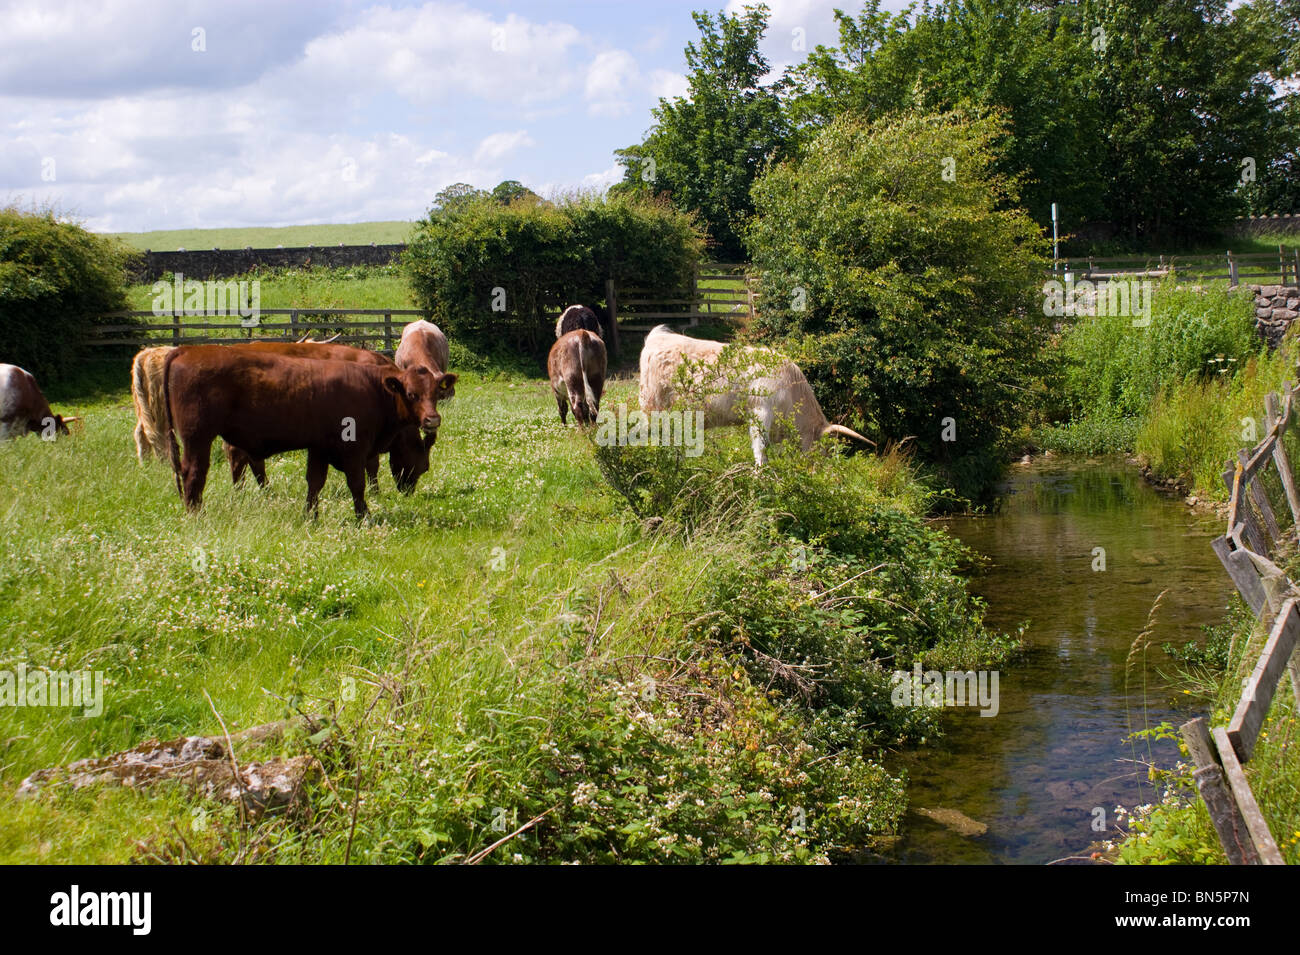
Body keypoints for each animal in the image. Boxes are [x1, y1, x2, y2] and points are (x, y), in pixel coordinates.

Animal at [163, 345, 456, 518]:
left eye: (435, 393)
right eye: (411, 394)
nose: (432, 419)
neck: (373, 387)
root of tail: (187, 350)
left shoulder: (319, 449)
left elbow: (314, 482)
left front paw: (310, 516)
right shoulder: (354, 450)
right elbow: (358, 483)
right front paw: (364, 516)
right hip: (198, 438)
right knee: (195, 474)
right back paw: (196, 514)